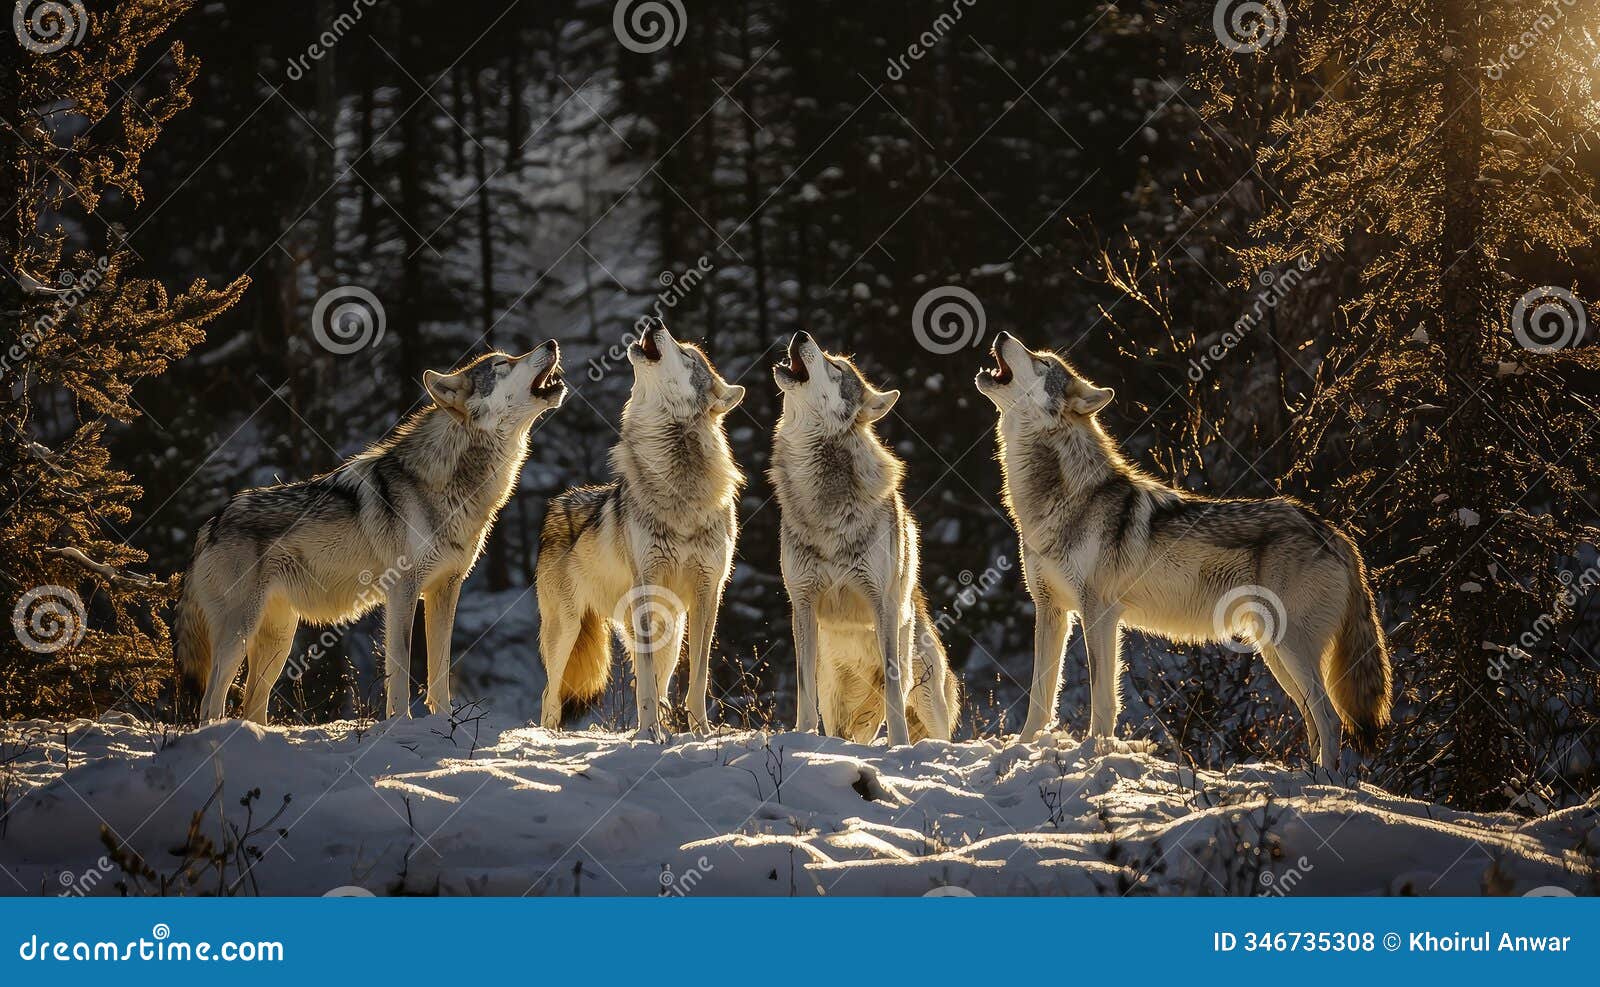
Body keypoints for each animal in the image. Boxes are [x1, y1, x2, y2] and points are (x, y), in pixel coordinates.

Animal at [176, 343, 568, 723]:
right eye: (503, 363)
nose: (551, 344)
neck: (448, 483)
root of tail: (212, 523)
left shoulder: (445, 588)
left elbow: (439, 668)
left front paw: (443, 721)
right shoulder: (402, 592)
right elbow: (401, 667)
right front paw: (401, 723)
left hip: (277, 640)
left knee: (251, 705)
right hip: (240, 634)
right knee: (211, 702)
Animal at [537, 321, 745, 741]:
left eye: (689, 356)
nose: (655, 323)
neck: (679, 487)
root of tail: (558, 502)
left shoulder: (708, 594)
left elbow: (697, 679)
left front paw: (700, 733)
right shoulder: (647, 588)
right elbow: (644, 685)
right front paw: (649, 735)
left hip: (670, 631)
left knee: (661, 684)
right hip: (567, 629)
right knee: (550, 694)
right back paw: (551, 737)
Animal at [770, 331, 960, 746]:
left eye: (837, 367)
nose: (800, 335)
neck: (821, 496)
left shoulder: (882, 603)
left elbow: (893, 685)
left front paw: (899, 747)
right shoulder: (802, 603)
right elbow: (802, 684)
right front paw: (802, 738)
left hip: (927, 701)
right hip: (837, 701)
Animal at [976, 331, 1391, 771]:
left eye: (1042, 362)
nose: (1002, 334)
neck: (1063, 498)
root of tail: (1333, 531)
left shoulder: (1099, 614)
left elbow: (1103, 699)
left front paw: (1093, 755)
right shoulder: (1050, 609)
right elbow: (1039, 698)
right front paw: (1022, 749)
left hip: (1289, 648)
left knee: (1330, 717)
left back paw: (1325, 780)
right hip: (1276, 654)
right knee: (1312, 717)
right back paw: (1308, 777)